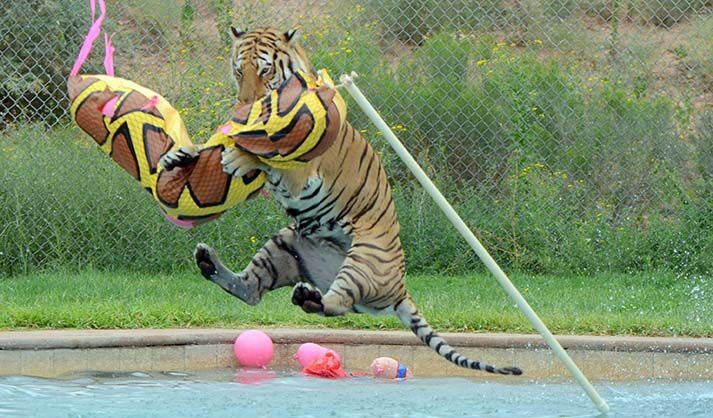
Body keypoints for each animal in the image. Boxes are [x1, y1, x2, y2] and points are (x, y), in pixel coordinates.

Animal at [161, 26, 522, 375]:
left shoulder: (299, 174)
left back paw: (308, 297)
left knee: (337, 304)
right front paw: (181, 154)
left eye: (265, 70)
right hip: (285, 244)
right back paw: (209, 263)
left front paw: (238, 157)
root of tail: (400, 286)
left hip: (363, 257)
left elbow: (267, 158)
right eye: (239, 71)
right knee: (252, 290)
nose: (244, 104)